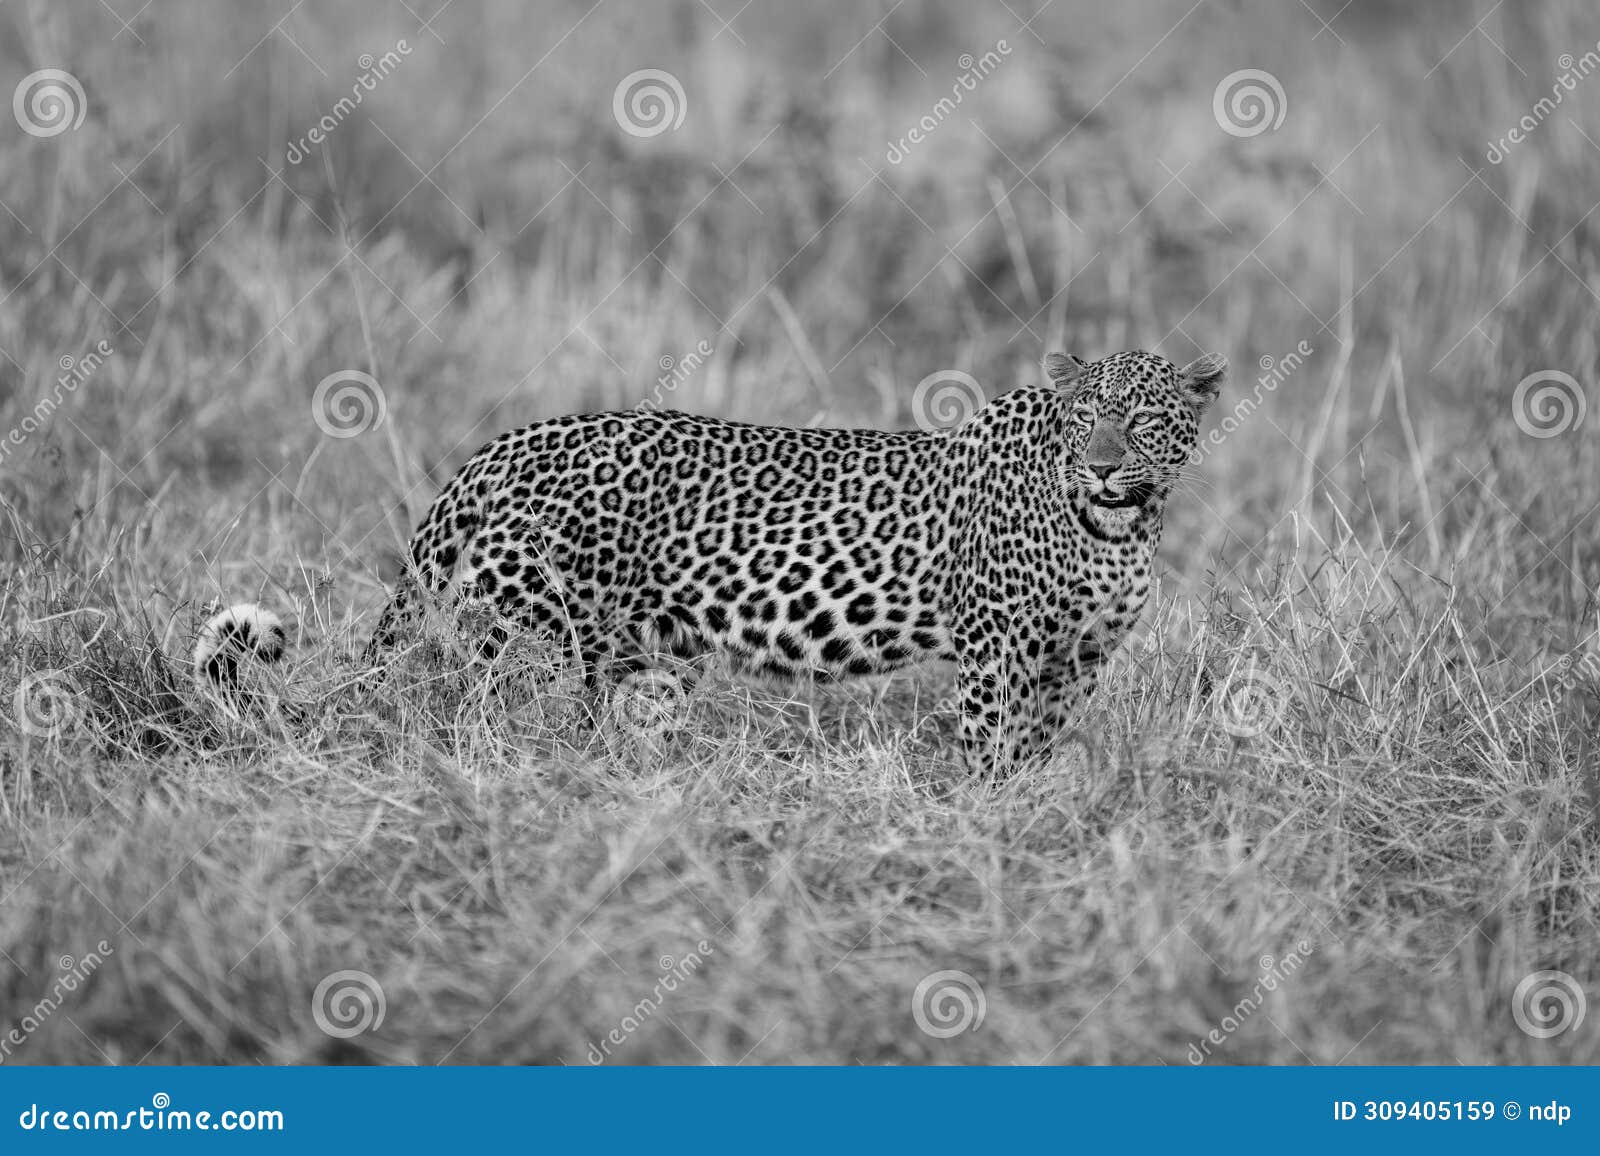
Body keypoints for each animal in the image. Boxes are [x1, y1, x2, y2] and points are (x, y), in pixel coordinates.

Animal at [197, 348, 1225, 771]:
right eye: (1083, 417)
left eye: (1141, 419)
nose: (1103, 464)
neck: (1122, 529)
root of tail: (508, 443)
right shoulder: (997, 651)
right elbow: (989, 742)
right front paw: (983, 822)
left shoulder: (1075, 660)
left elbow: (1041, 743)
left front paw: (1030, 810)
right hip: (538, 627)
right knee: (465, 704)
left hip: (632, 650)